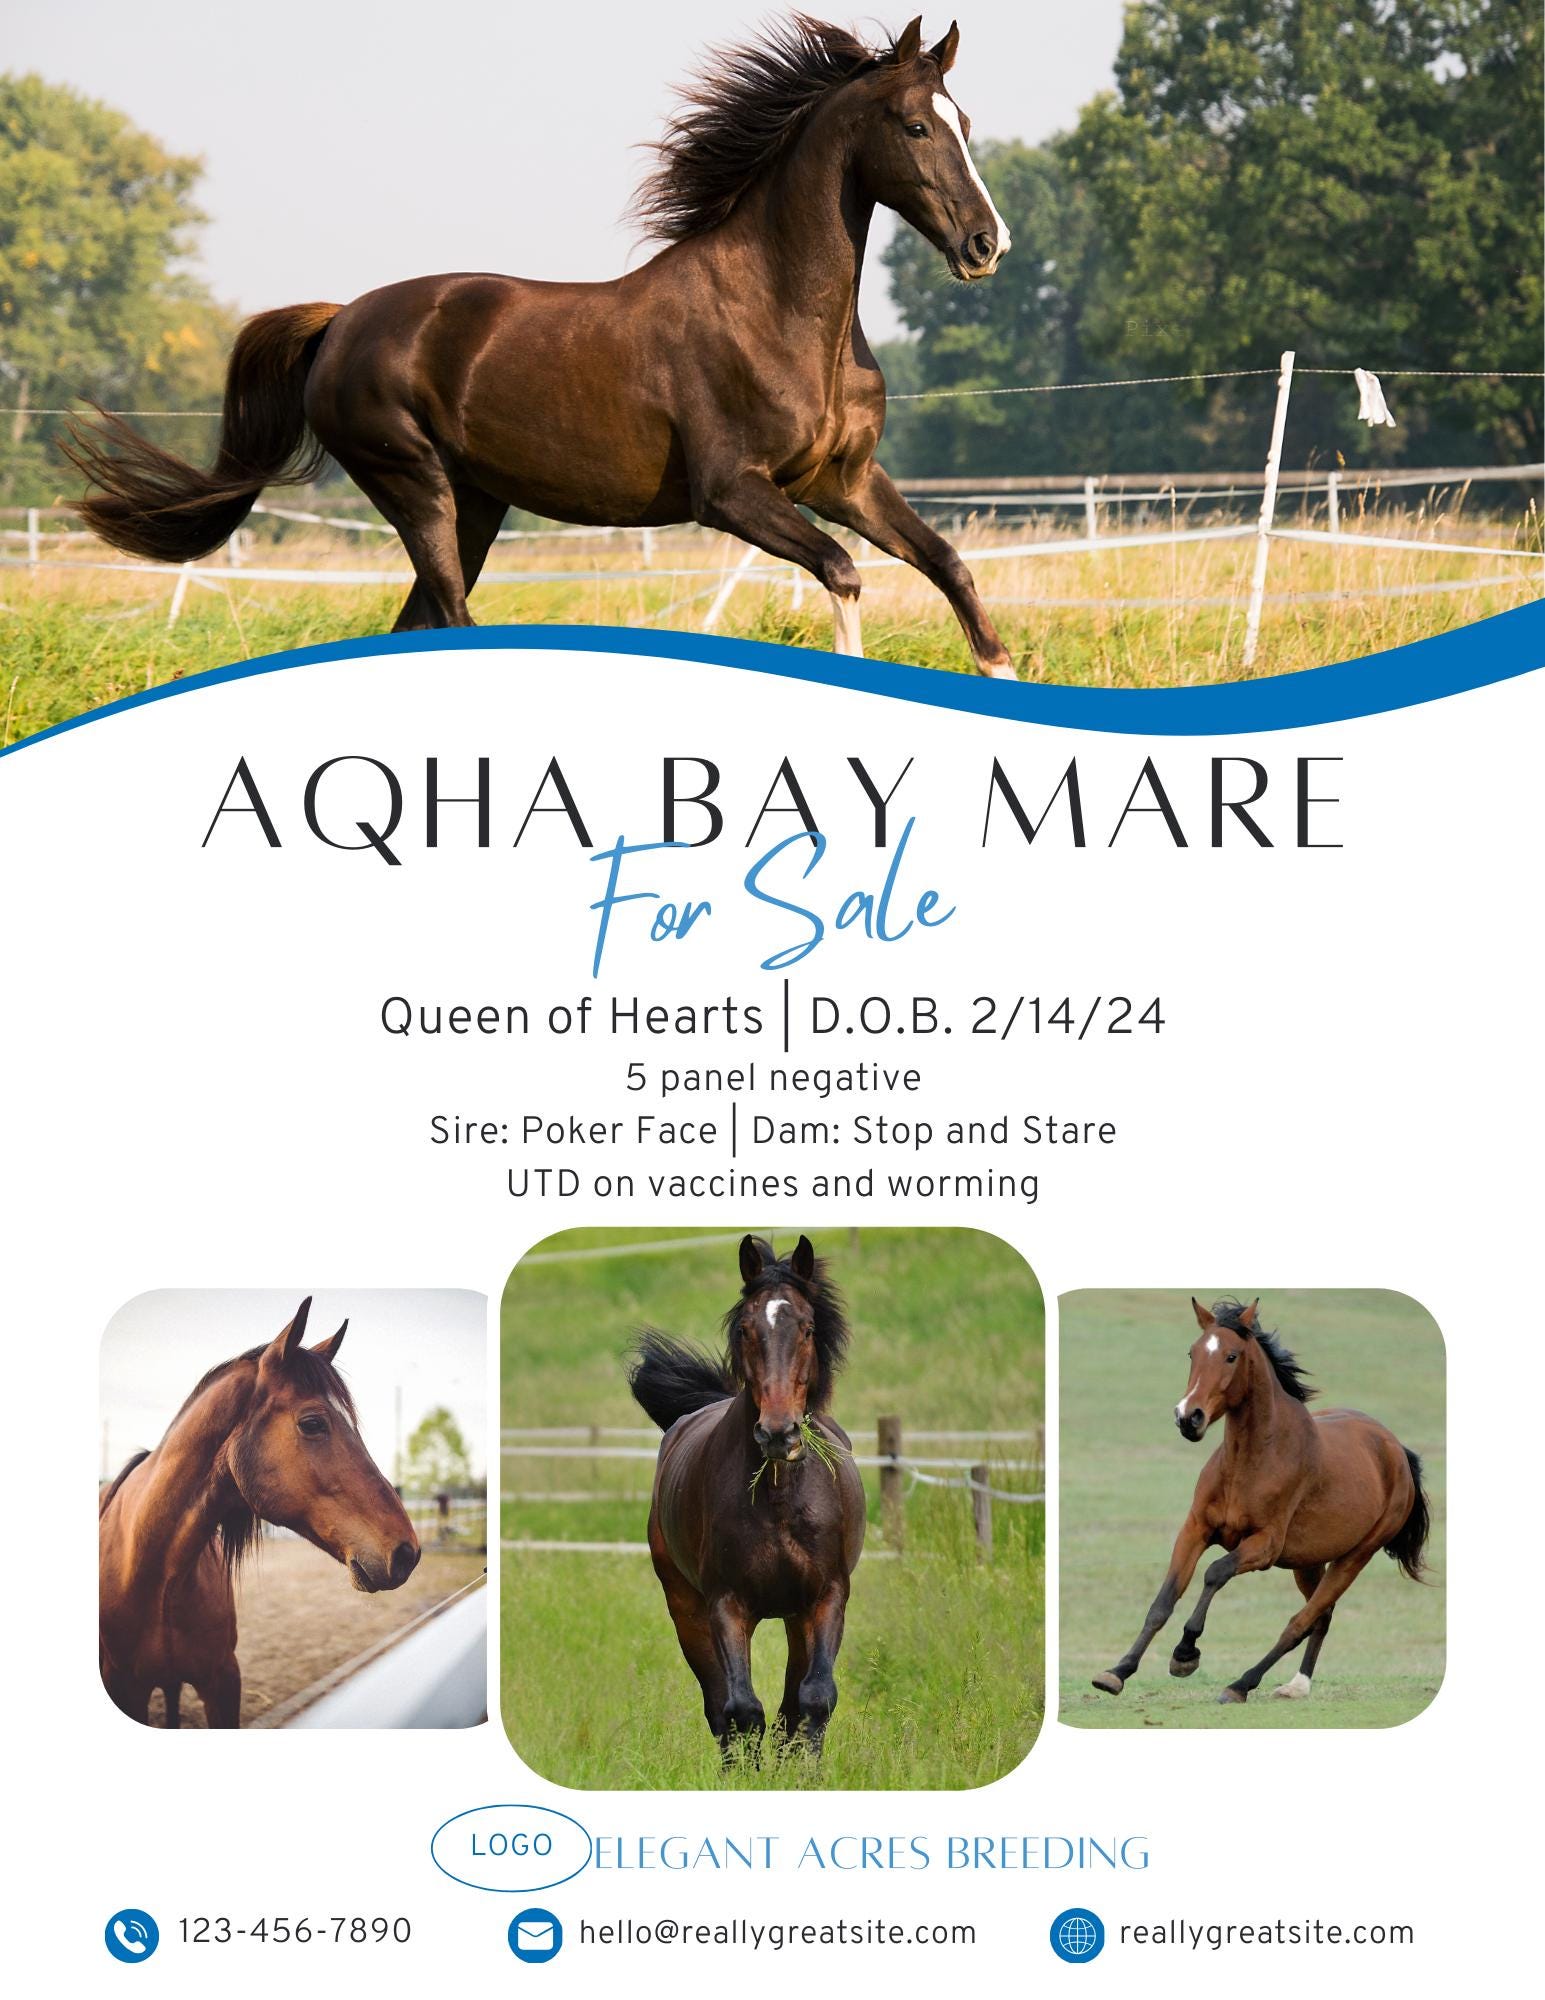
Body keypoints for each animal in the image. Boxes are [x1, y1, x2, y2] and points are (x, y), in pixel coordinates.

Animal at [62, 16, 1018, 676]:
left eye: (964, 120)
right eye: (915, 126)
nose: (986, 245)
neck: (778, 316)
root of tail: (340, 321)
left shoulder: (842, 482)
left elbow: (951, 568)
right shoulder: (732, 494)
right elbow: (843, 573)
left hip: (476, 503)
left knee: (421, 621)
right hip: (415, 487)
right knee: (450, 615)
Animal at [629, 1234, 866, 1758]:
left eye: (807, 1328)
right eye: (744, 1328)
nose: (778, 1432)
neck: (779, 1501)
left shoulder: (826, 1597)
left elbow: (814, 1698)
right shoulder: (726, 1605)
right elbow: (741, 1710)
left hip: (796, 1617)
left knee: (792, 1702)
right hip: (686, 1609)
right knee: (720, 1706)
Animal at [1092, 1297, 1431, 1706]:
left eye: (1232, 1356)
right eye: (1192, 1352)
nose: (1188, 1417)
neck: (1249, 1462)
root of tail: (1397, 1450)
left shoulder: (1264, 1546)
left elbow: (1215, 1572)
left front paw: (1185, 1654)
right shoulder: (1195, 1529)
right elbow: (1163, 1602)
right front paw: (1117, 1673)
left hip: (1354, 1557)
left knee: (1301, 1622)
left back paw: (1241, 1684)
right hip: (1309, 1562)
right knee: (1322, 1616)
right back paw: (1296, 1685)